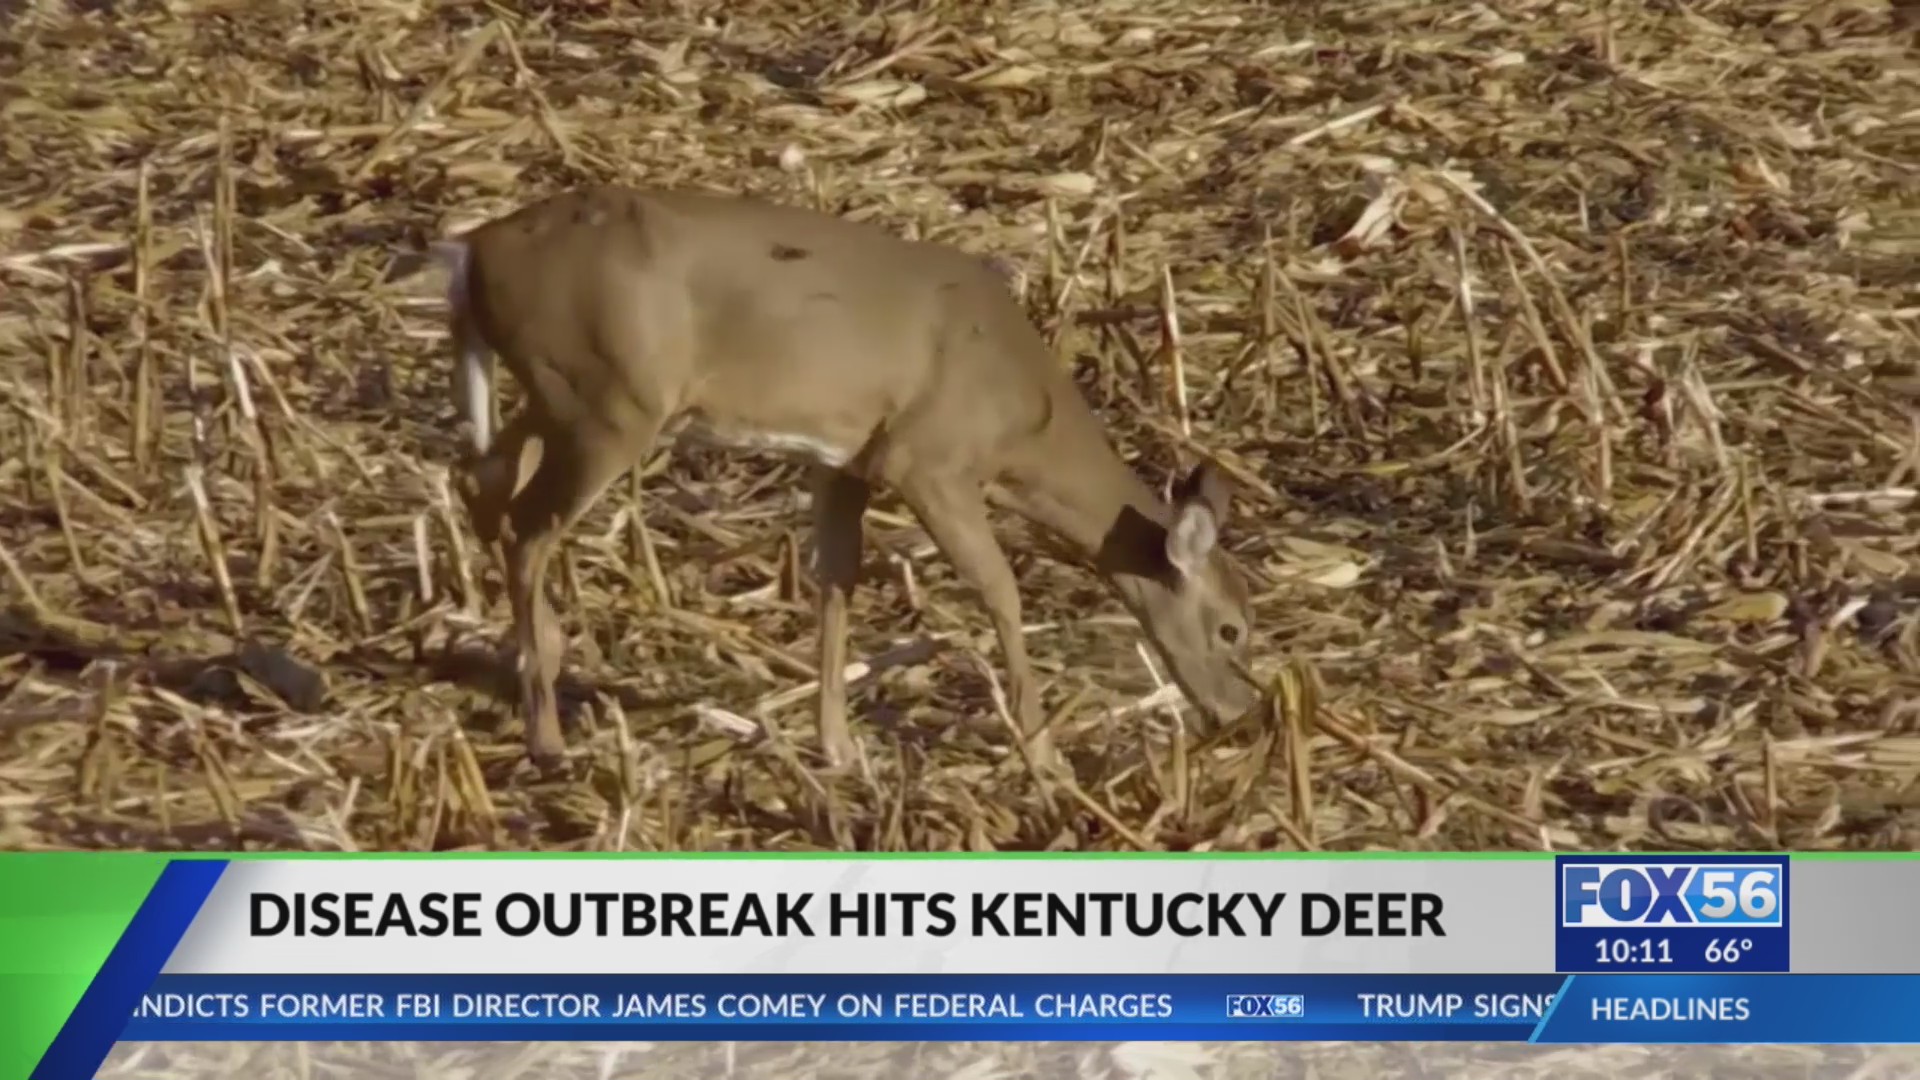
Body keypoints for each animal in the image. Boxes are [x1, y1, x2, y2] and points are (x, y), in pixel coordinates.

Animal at [426, 185, 1259, 775]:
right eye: (1230, 627)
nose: (1236, 716)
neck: (1023, 414)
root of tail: (470, 251)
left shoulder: (846, 460)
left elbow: (836, 583)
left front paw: (839, 748)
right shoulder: (927, 458)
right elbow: (1001, 590)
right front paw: (1044, 754)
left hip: (559, 396)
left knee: (481, 479)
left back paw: (526, 654)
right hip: (610, 400)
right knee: (528, 526)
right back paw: (547, 733)